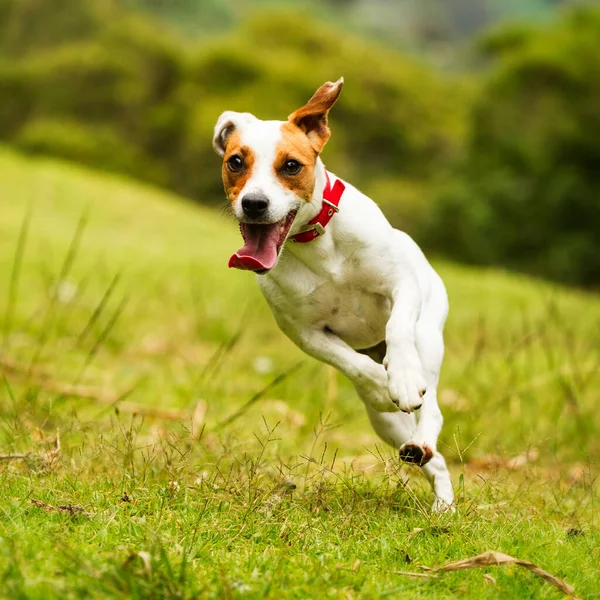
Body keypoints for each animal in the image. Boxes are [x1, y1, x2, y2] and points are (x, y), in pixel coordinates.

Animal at [213, 77, 452, 508]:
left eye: (291, 165)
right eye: (235, 162)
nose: (254, 203)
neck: (317, 243)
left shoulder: (401, 285)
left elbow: (397, 326)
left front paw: (401, 377)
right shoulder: (303, 332)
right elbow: (350, 363)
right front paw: (379, 384)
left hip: (429, 336)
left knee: (432, 408)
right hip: (387, 424)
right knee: (431, 456)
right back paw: (436, 489)